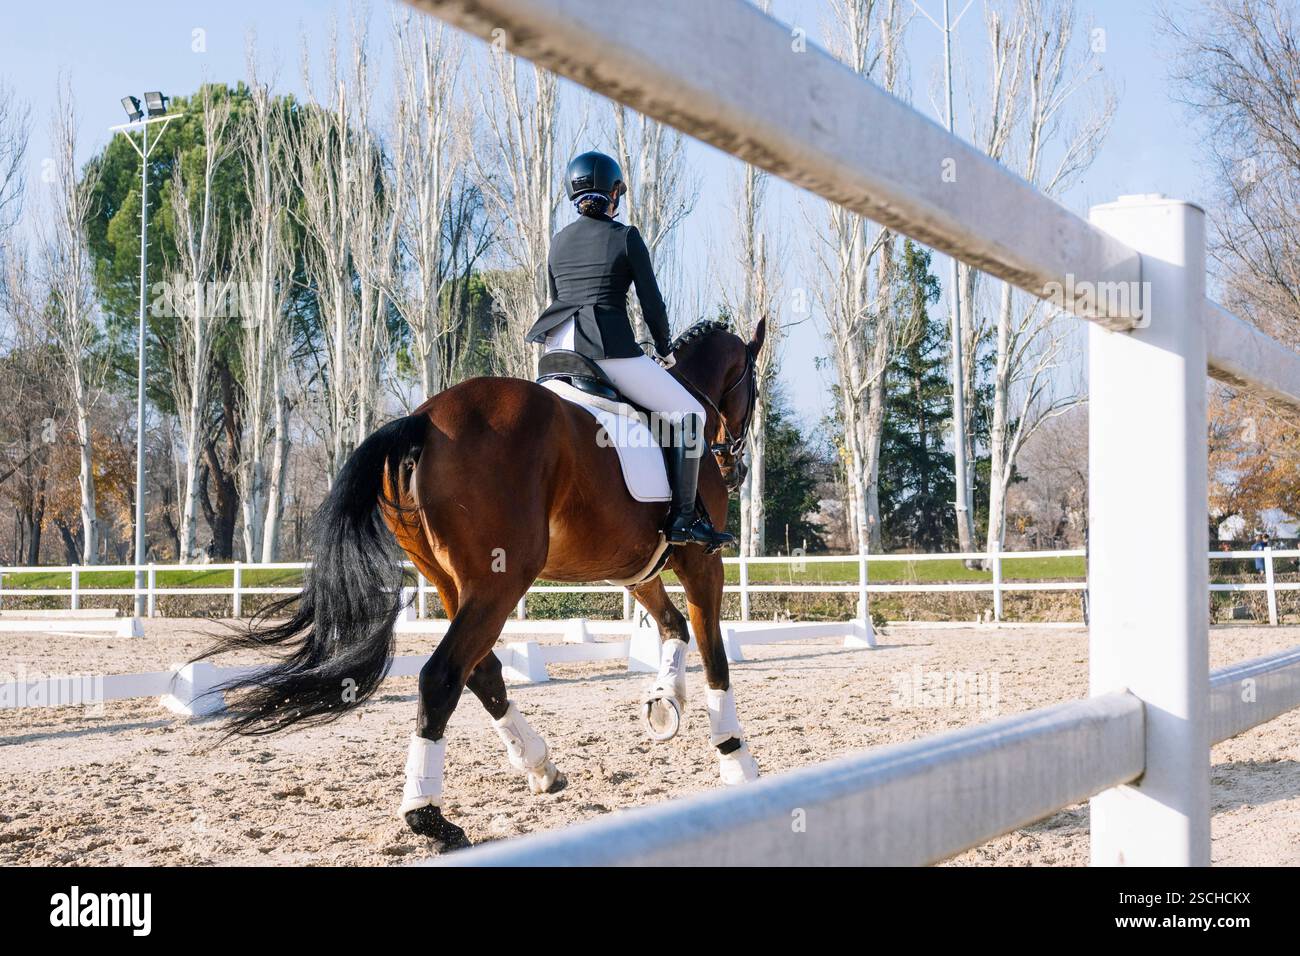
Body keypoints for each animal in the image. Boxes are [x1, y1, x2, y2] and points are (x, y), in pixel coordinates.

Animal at [198, 318, 765, 847]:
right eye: (753, 390)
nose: (734, 467)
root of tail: (424, 420)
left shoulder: (634, 569)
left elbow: (673, 628)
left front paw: (666, 702)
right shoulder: (701, 560)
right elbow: (713, 651)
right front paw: (735, 756)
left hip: (451, 582)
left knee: (481, 671)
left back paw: (539, 765)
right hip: (502, 580)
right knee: (442, 675)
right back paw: (430, 818)